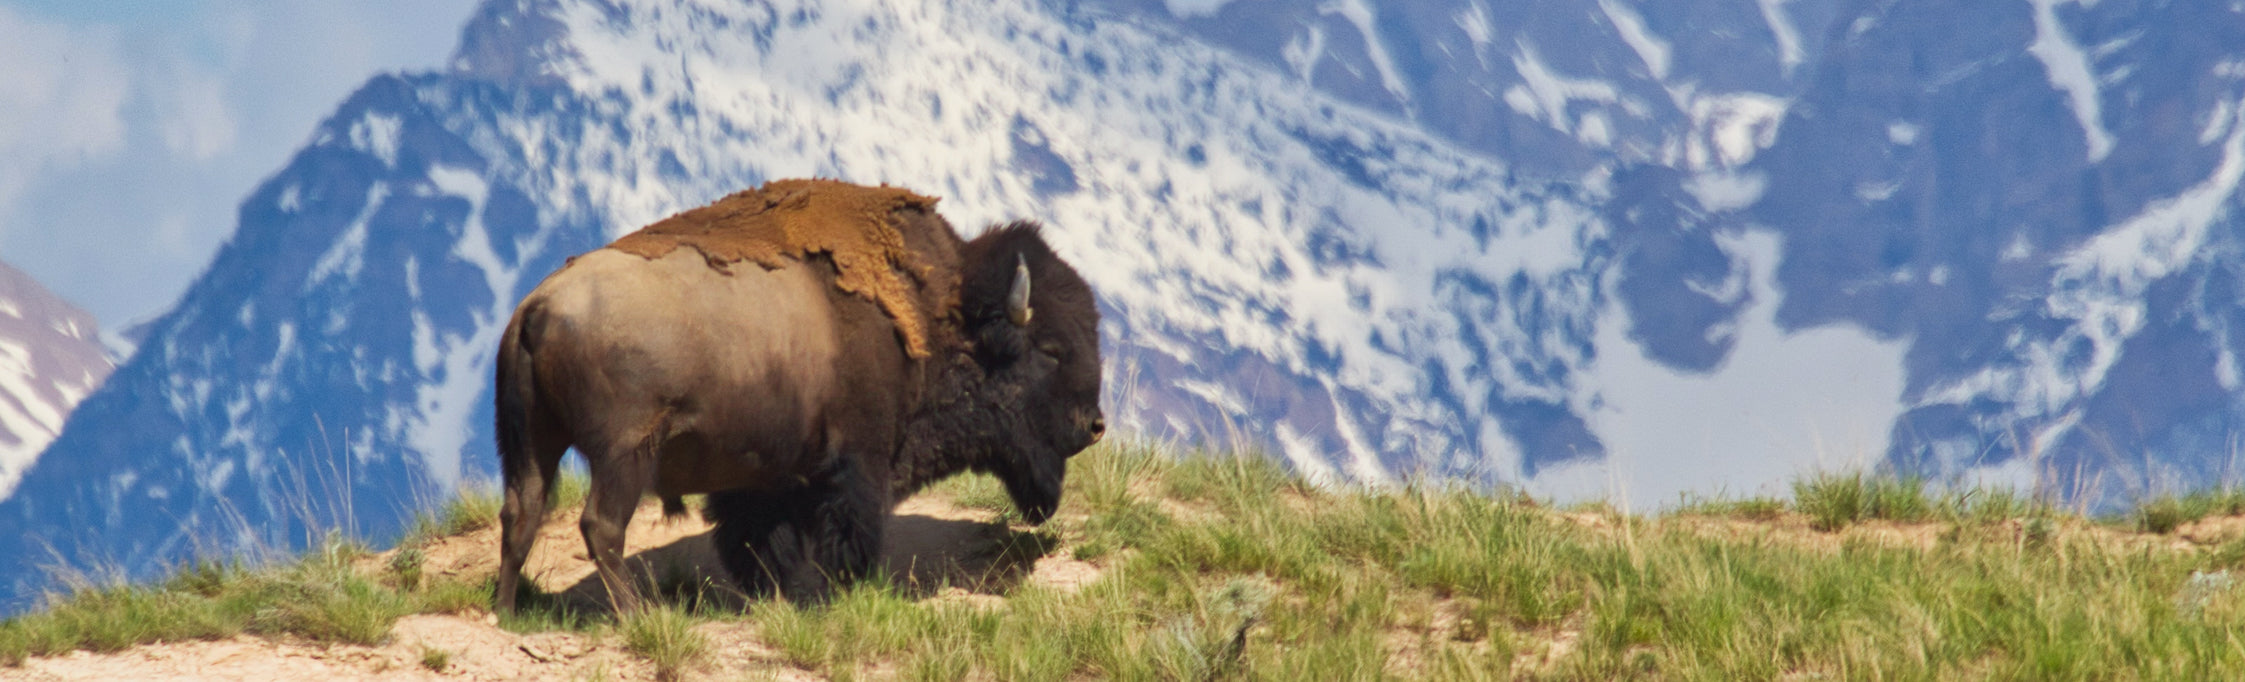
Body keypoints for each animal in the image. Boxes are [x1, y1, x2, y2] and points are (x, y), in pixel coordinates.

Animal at [492, 179, 1104, 612]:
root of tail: (537, 306)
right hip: (624, 454)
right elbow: (848, 533)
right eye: (1050, 349)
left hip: (533, 444)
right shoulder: (857, 463)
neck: (937, 316)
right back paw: (636, 614)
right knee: (601, 527)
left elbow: (760, 542)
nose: (1094, 424)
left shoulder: (760, 478)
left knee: (520, 514)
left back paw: (509, 613)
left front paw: (775, 594)